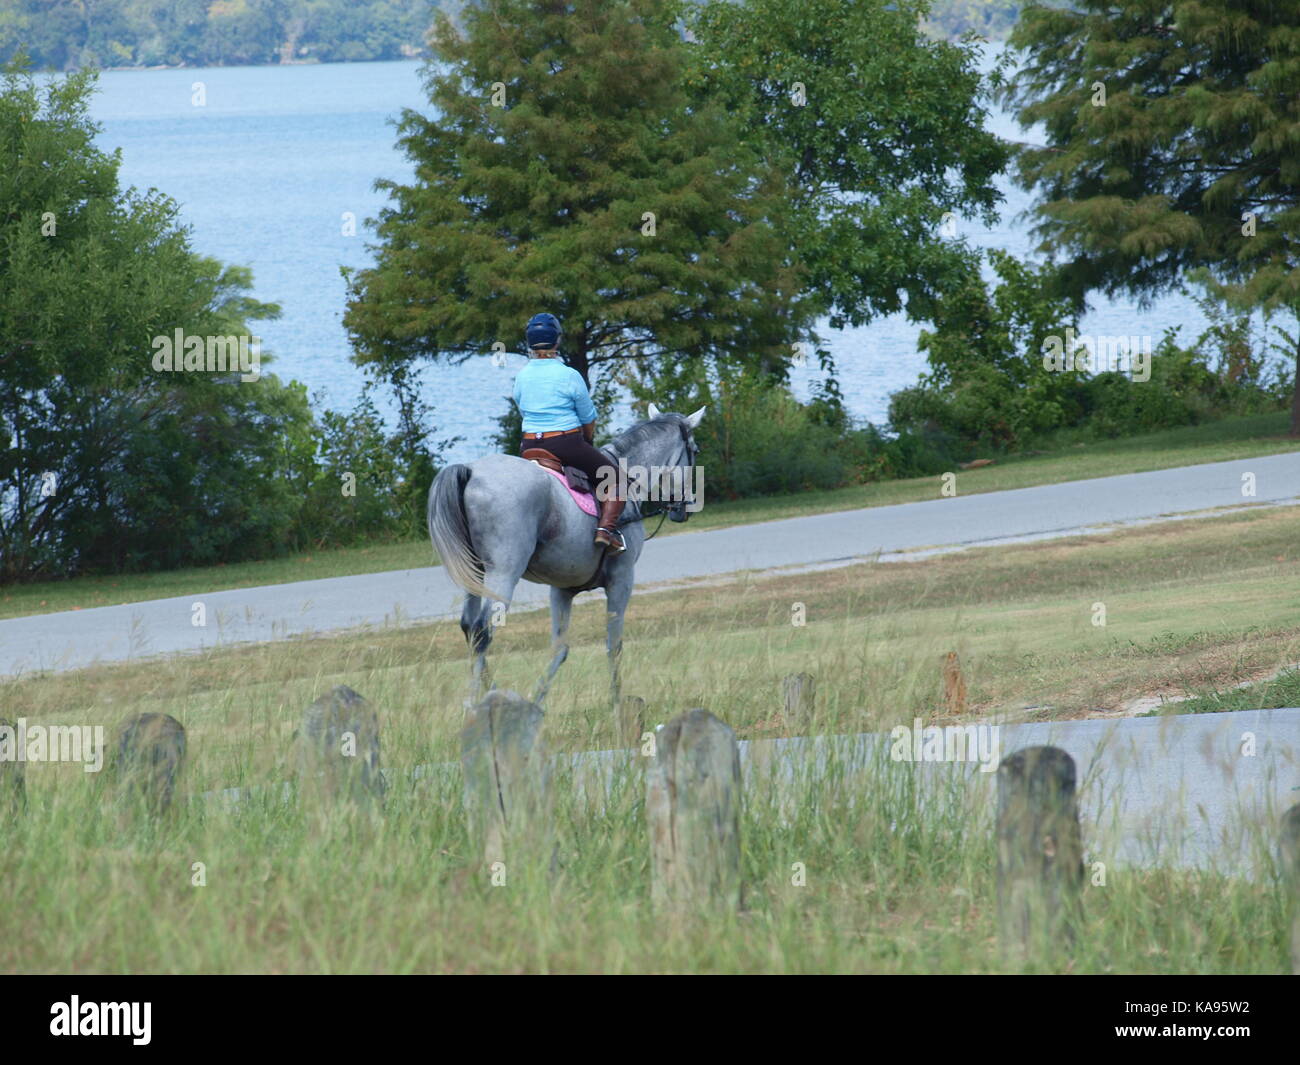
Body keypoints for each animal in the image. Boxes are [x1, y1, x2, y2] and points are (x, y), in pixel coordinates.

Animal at [427, 403, 704, 708]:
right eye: (695, 450)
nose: (685, 508)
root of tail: (471, 471)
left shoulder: (562, 589)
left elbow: (559, 649)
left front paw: (536, 702)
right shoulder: (621, 580)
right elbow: (614, 645)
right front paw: (617, 702)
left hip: (476, 576)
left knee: (469, 629)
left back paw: (493, 695)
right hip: (502, 574)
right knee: (482, 630)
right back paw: (476, 704)